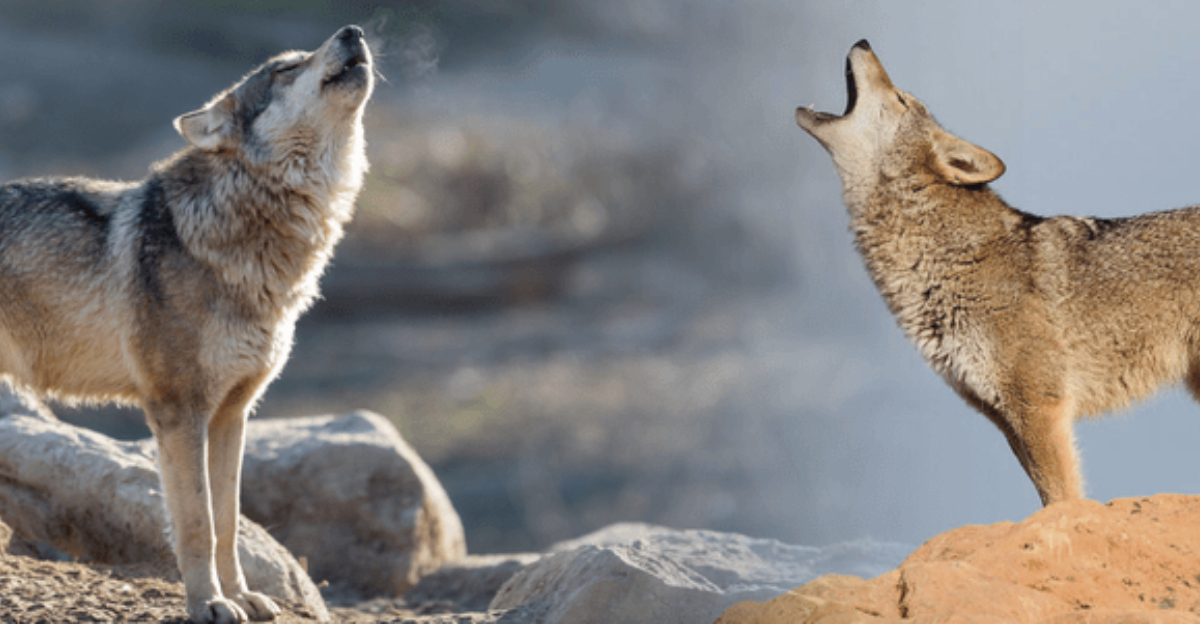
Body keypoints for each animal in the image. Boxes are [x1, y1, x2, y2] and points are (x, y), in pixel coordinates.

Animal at [0, 26, 373, 622]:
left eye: (298, 60)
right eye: (285, 70)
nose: (352, 31)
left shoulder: (232, 414)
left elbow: (227, 523)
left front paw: (240, 595)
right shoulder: (179, 412)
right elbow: (196, 523)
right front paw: (209, 603)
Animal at [796, 40, 1200, 508]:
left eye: (901, 100)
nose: (863, 42)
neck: (948, 259)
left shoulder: (1039, 409)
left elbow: (1062, 500)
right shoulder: (1005, 418)